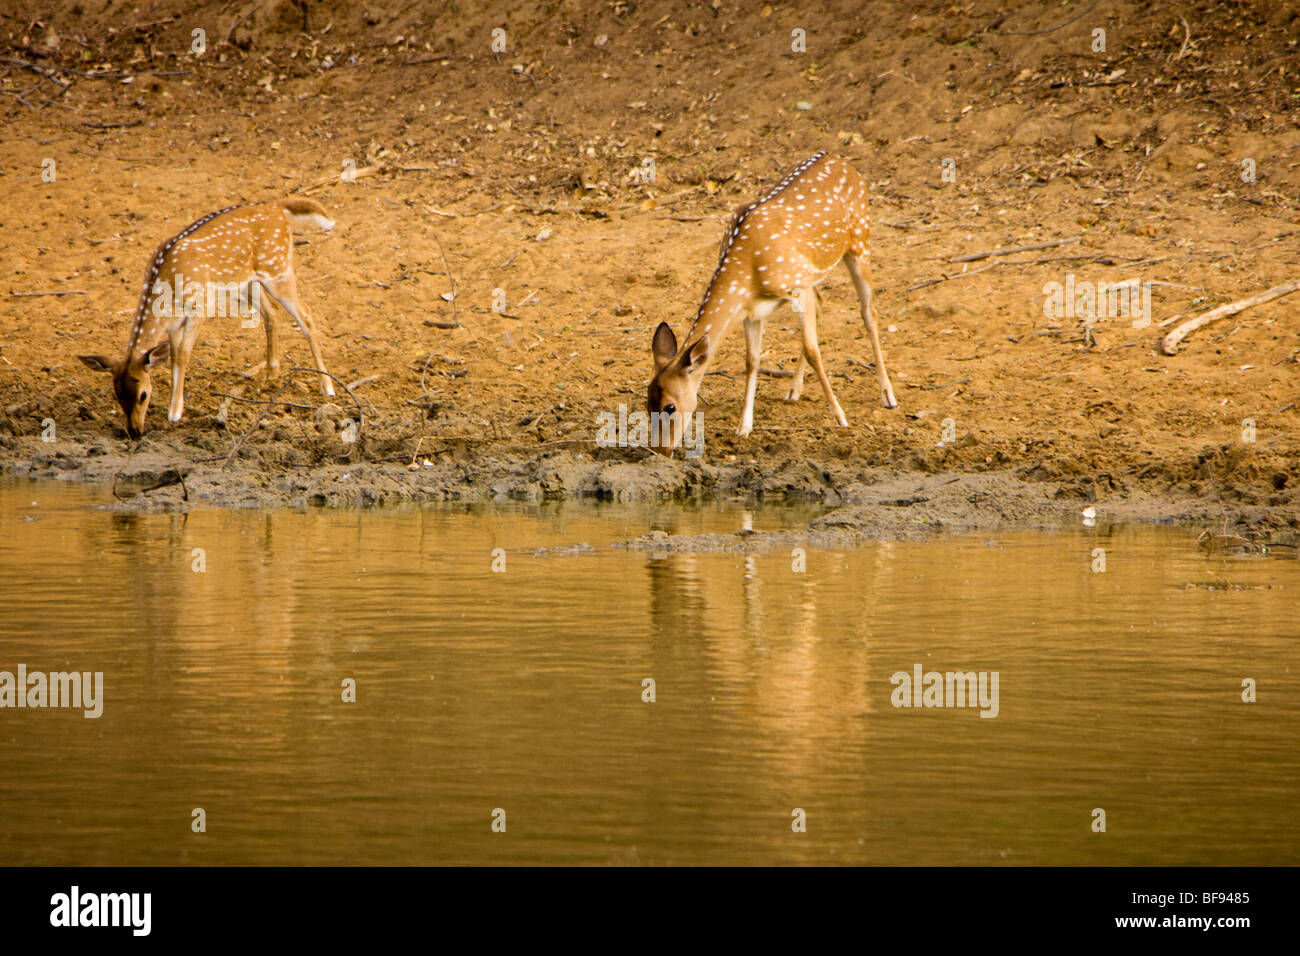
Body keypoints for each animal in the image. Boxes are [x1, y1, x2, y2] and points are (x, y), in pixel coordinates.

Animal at [78, 197, 337, 439]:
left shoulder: (201, 305)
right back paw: (271, 374)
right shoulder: (173, 323)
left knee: (306, 315)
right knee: (271, 312)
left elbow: (183, 354)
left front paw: (175, 412)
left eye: (143, 394)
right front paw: (174, 404)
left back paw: (327, 387)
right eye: (117, 395)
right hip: (246, 283)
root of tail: (278, 207)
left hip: (278, 269)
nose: (134, 432)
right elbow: (174, 356)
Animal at [648, 152, 896, 455]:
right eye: (646, 403)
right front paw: (743, 427)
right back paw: (793, 391)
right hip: (817, 271)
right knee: (822, 302)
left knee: (868, 312)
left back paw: (888, 395)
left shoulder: (798, 285)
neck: (748, 271)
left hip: (860, 242)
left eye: (670, 407)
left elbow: (813, 350)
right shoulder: (752, 311)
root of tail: (840, 160)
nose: (659, 451)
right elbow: (752, 360)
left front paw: (840, 417)